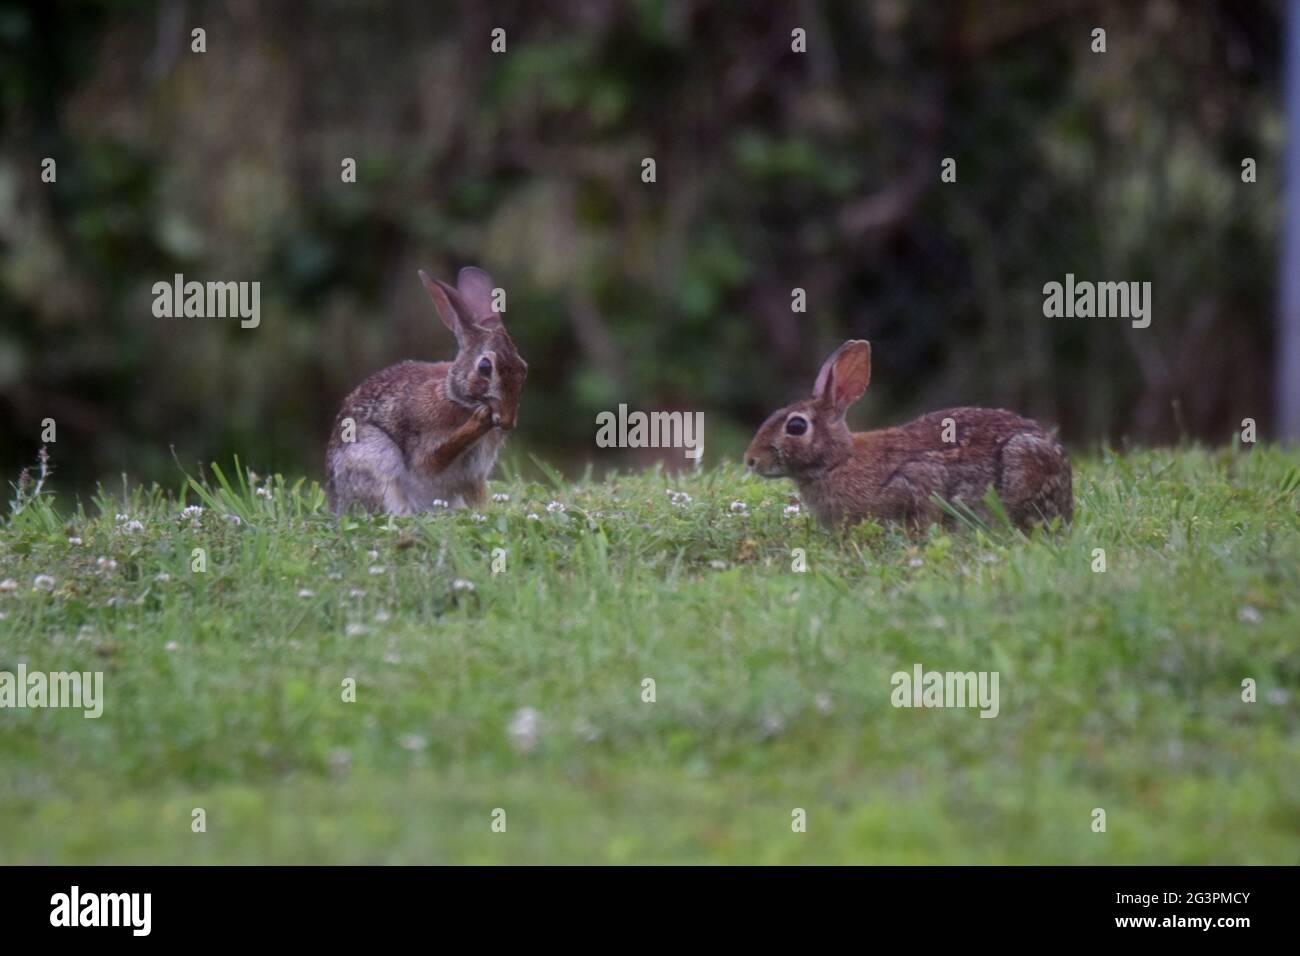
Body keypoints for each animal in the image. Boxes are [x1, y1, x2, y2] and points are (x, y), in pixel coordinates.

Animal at [325, 266, 527, 514]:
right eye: (485, 367)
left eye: (523, 368)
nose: (507, 421)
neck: (456, 397)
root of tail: (335, 503)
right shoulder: (423, 449)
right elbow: (434, 458)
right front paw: (478, 421)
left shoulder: (474, 477)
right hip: (373, 456)